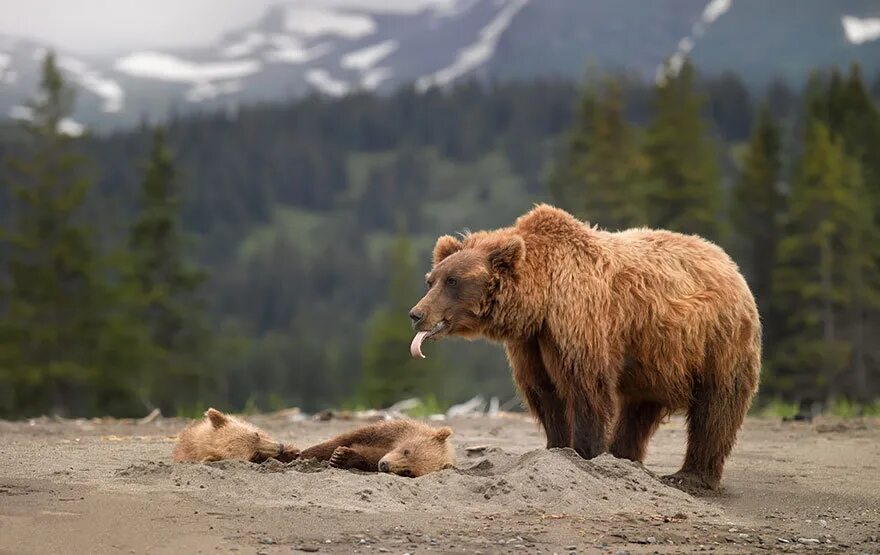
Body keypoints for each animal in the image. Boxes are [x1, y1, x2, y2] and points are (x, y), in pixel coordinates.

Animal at [297, 419, 455, 477]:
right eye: (407, 451)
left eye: (408, 472)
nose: (384, 465)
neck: (393, 444)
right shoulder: (386, 432)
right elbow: (344, 439)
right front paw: (299, 454)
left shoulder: (376, 457)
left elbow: (366, 458)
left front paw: (341, 458)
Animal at [408, 204, 760, 490]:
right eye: (431, 279)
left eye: (453, 280)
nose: (416, 314)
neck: (541, 299)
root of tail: (728, 262)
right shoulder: (531, 343)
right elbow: (544, 392)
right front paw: (556, 446)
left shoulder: (579, 320)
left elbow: (586, 386)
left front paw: (586, 453)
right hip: (654, 357)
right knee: (639, 408)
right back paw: (625, 456)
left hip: (718, 340)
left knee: (717, 406)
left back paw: (690, 476)